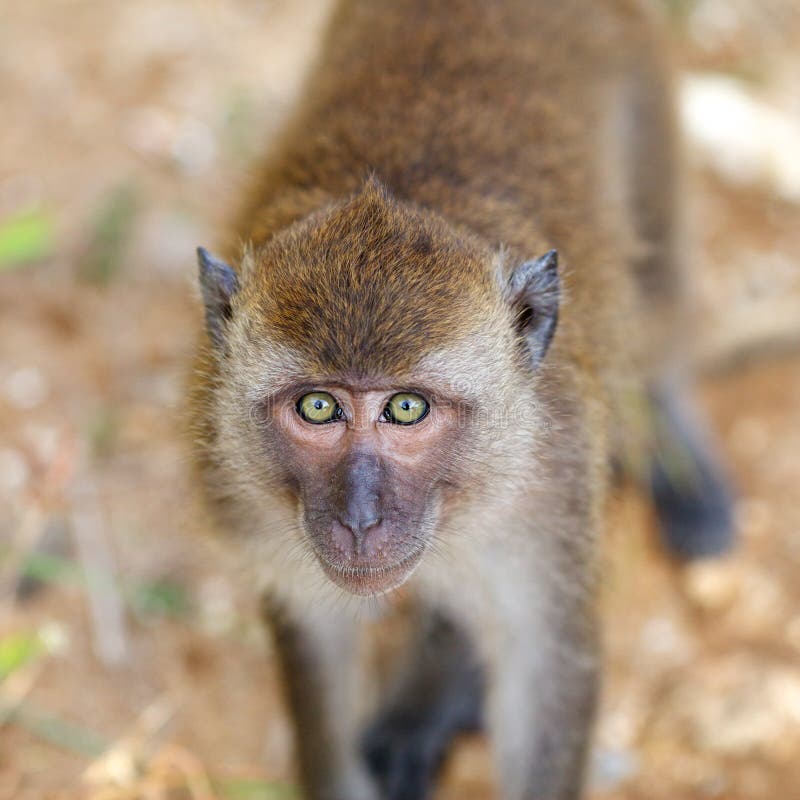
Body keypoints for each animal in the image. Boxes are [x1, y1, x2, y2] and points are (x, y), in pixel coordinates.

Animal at [188, 1, 735, 798]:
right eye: (318, 407)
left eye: (406, 408)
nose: (360, 519)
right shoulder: (244, 488)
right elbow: (316, 635)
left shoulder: (552, 482)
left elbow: (544, 673)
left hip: (646, 104)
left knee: (657, 289)